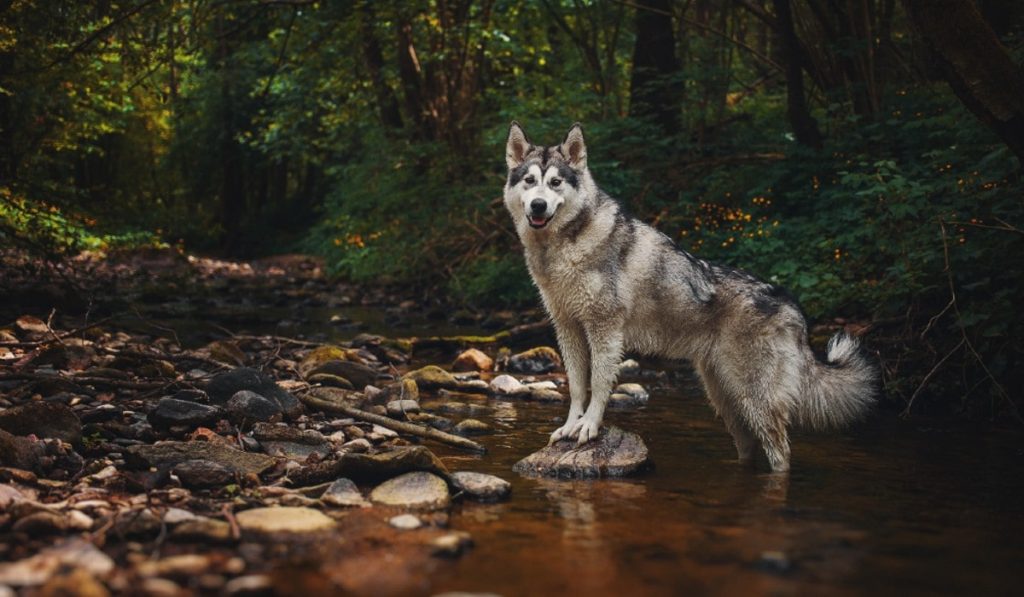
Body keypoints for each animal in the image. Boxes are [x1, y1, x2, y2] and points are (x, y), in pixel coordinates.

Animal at [502, 121, 877, 472]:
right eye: (529, 181)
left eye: (555, 183)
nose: (538, 205)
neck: (564, 246)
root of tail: (793, 307)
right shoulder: (568, 329)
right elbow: (578, 386)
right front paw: (570, 426)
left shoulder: (604, 330)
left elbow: (598, 384)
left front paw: (589, 426)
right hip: (727, 402)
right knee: (748, 449)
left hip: (757, 403)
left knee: (781, 457)